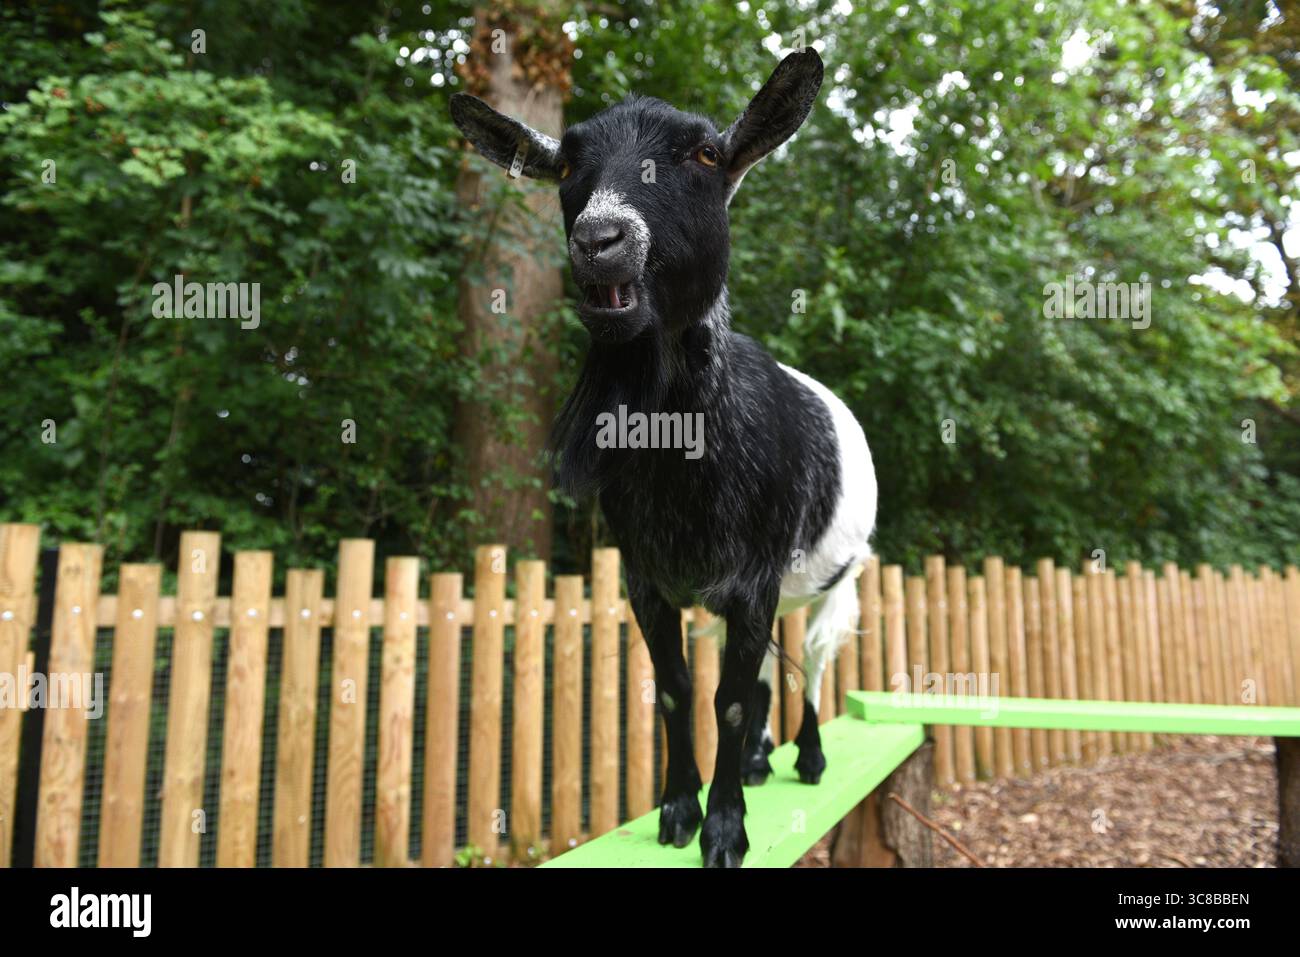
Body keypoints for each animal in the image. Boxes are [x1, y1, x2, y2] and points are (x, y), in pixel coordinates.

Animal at [451, 48, 877, 867]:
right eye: (565, 166)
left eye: (706, 154)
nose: (600, 238)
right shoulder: (649, 578)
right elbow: (680, 687)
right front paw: (679, 808)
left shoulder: (753, 576)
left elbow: (730, 698)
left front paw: (725, 830)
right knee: (774, 670)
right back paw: (759, 761)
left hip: (834, 580)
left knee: (815, 662)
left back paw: (808, 757)